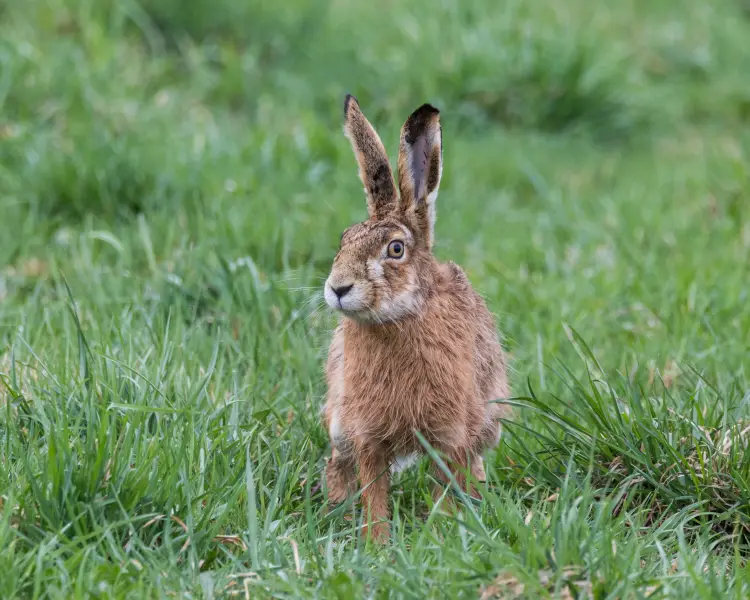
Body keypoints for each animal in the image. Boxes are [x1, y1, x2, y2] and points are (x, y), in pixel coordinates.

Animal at [321, 95, 511, 543]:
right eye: (343, 241)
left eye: (395, 249)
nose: (338, 288)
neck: (398, 319)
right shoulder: (366, 434)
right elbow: (374, 491)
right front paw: (377, 544)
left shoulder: (453, 432)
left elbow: (447, 485)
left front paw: (441, 536)